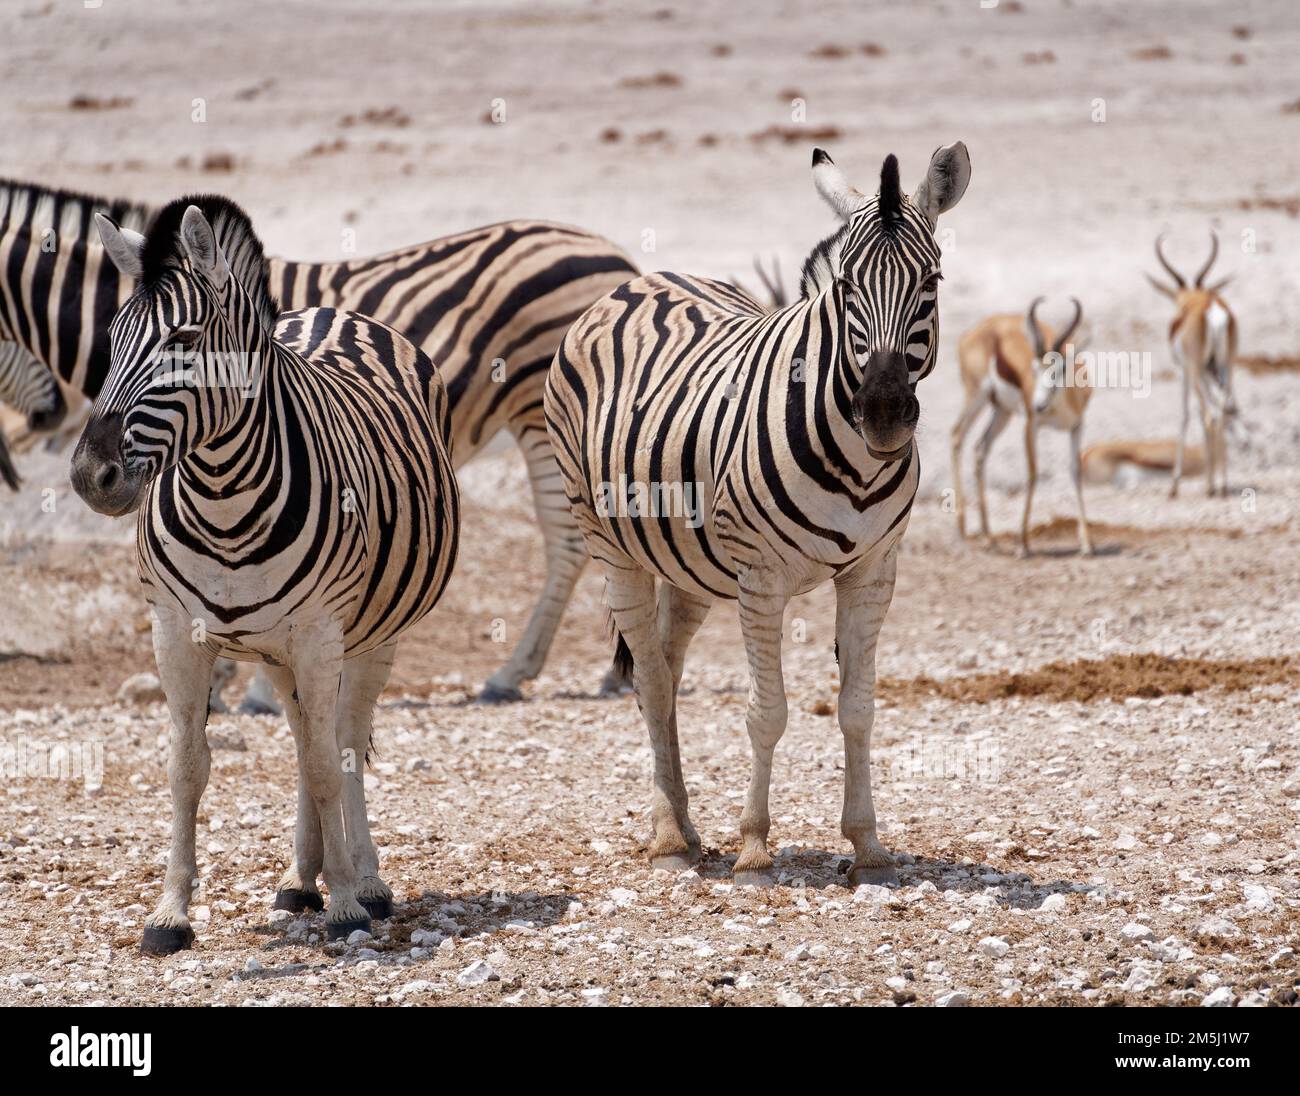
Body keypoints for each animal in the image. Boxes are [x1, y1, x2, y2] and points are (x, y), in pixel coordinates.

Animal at [0, 178, 637, 701]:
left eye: (183, 340)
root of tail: (610, 250)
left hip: (540, 412)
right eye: (114, 336)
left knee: (570, 541)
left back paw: (514, 672)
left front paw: (247, 685)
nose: (86, 473)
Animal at [70, 196, 459, 954]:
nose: (89, 475)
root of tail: (330, 310)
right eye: (112, 338)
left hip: (371, 633)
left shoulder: (318, 632)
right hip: (278, 651)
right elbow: (187, 768)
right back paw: (300, 879)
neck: (225, 499)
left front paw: (346, 905)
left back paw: (364, 883)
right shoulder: (175, 632)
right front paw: (170, 913)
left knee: (342, 742)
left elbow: (328, 763)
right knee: (307, 734)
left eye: (186, 338)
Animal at [545, 144, 970, 885]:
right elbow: (767, 713)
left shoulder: (874, 571)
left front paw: (867, 847)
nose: (885, 414)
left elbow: (858, 710)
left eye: (933, 281)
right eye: (847, 288)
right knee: (649, 676)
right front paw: (753, 846)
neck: (856, 464)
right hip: (609, 542)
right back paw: (668, 839)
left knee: (665, 670)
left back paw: (682, 824)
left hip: (688, 561)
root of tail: (639, 281)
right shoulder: (762, 578)